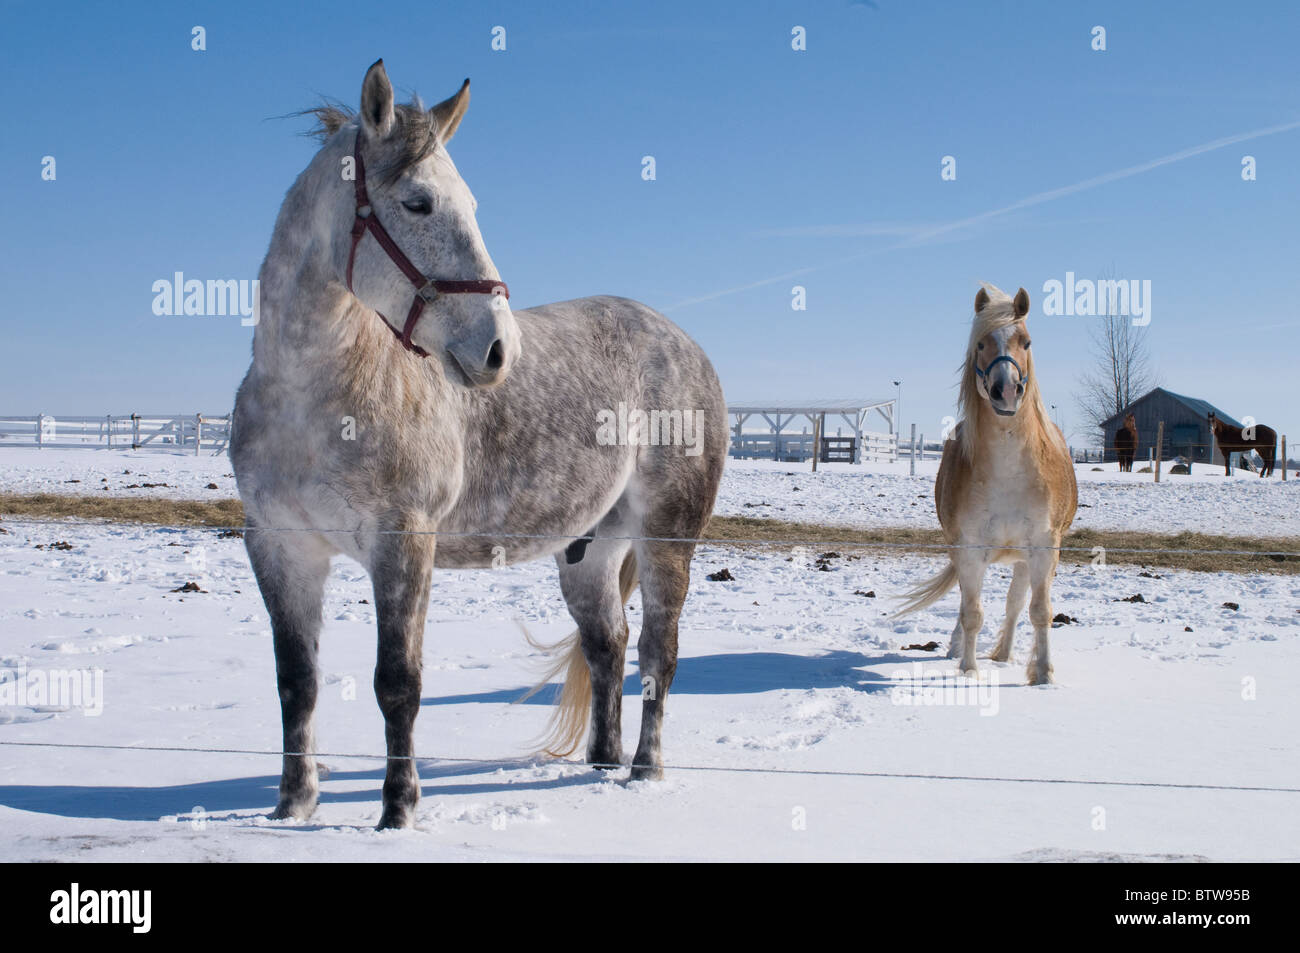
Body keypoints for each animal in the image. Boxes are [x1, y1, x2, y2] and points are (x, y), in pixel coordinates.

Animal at [229, 60, 727, 829]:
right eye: (418, 203)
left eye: (470, 204)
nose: (498, 350)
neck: (314, 398)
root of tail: (682, 342)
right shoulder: (281, 547)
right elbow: (297, 682)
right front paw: (292, 809)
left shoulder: (403, 543)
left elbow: (397, 683)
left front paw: (397, 812)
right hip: (591, 550)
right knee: (607, 647)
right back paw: (601, 761)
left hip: (666, 536)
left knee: (657, 653)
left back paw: (643, 770)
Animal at [895, 284, 1078, 685]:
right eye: (981, 343)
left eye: (1026, 342)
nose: (1005, 391)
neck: (1008, 471)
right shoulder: (969, 548)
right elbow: (971, 613)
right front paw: (968, 670)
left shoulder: (1044, 548)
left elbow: (1039, 611)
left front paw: (1043, 674)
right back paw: (959, 648)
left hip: (1024, 558)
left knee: (1015, 603)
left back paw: (1005, 654)